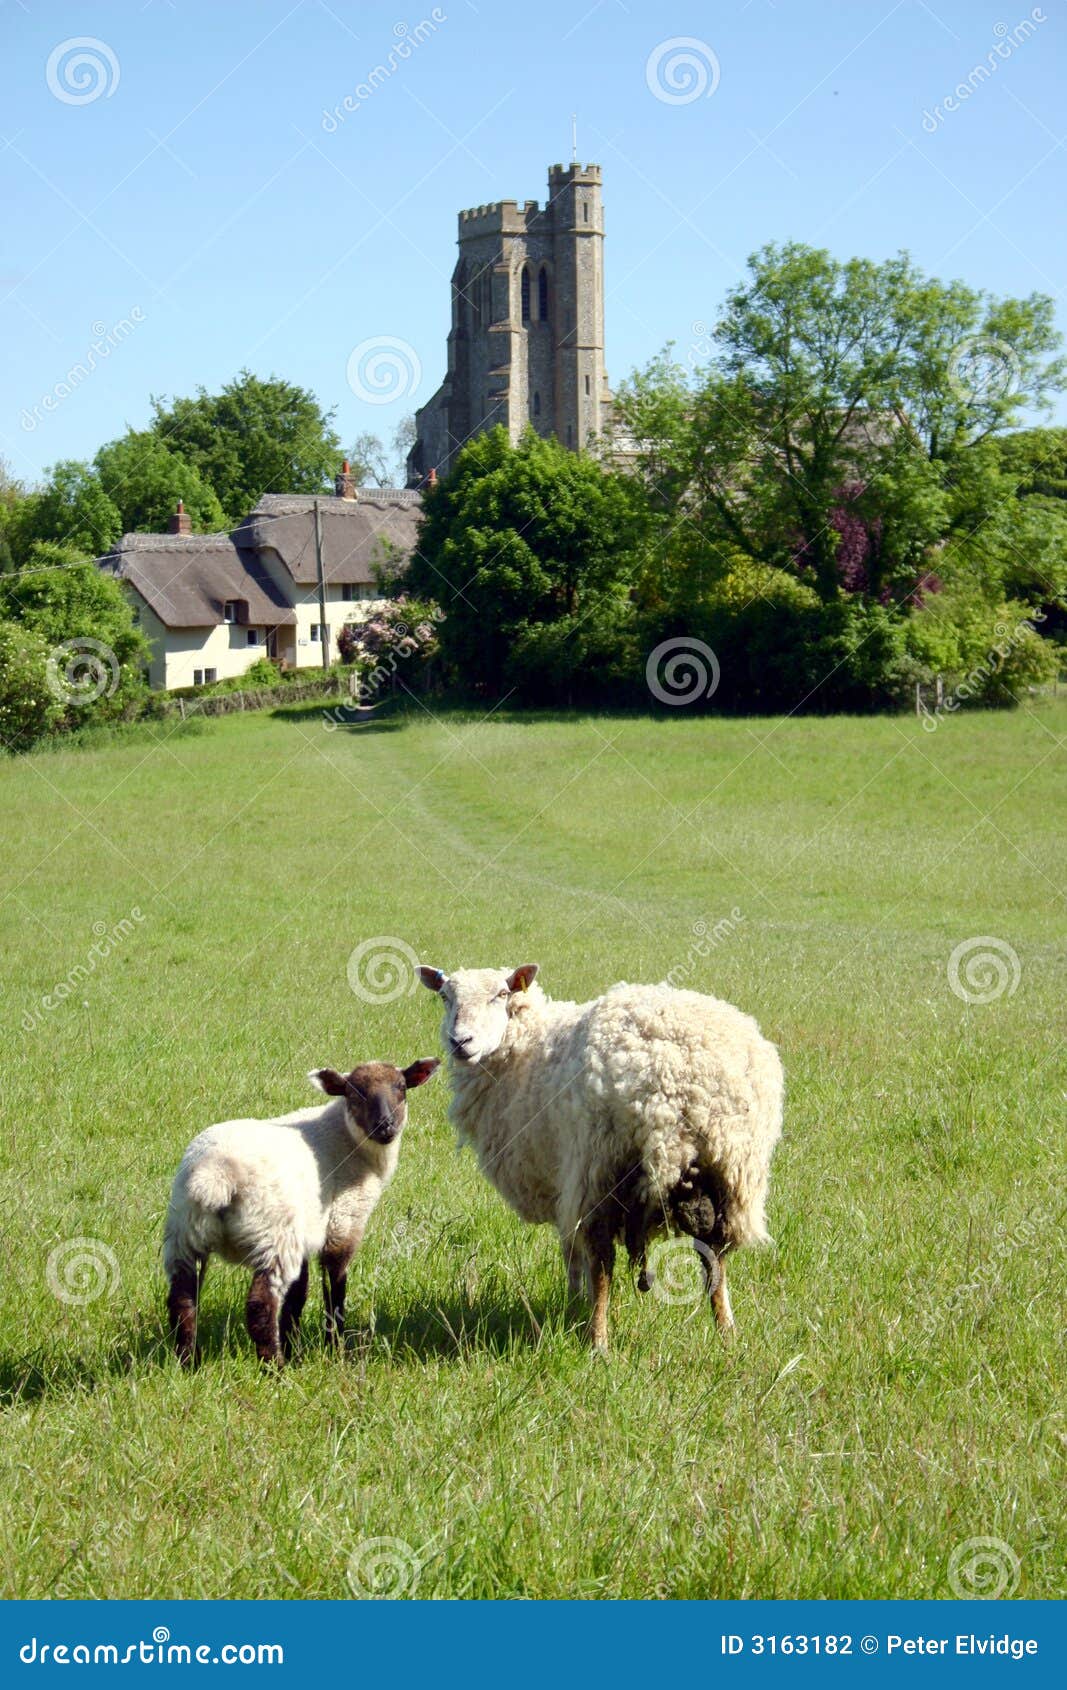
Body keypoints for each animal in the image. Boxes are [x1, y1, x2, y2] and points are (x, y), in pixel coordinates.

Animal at [163, 1058, 439, 1365]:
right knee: (260, 1305)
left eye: (401, 1087)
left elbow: (298, 1295)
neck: (347, 1140)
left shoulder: (307, 1231)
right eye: (353, 1094)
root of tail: (215, 1175)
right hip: (272, 1236)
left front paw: (294, 1348)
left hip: (185, 1234)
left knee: (182, 1300)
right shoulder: (342, 1224)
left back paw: (188, 1362)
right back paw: (274, 1367)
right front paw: (334, 1346)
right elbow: (334, 1289)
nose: (385, 1126)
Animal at [419, 963, 783, 1352]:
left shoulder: (566, 1177)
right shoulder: (563, 1181)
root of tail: (679, 1083)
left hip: (600, 1166)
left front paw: (574, 1302)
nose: (460, 1042)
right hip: (731, 1171)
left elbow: (571, 1252)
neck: (524, 1054)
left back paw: (599, 1340)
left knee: (602, 1260)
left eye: (501, 995)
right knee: (715, 1255)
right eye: (445, 997)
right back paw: (726, 1331)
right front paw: (574, 1305)